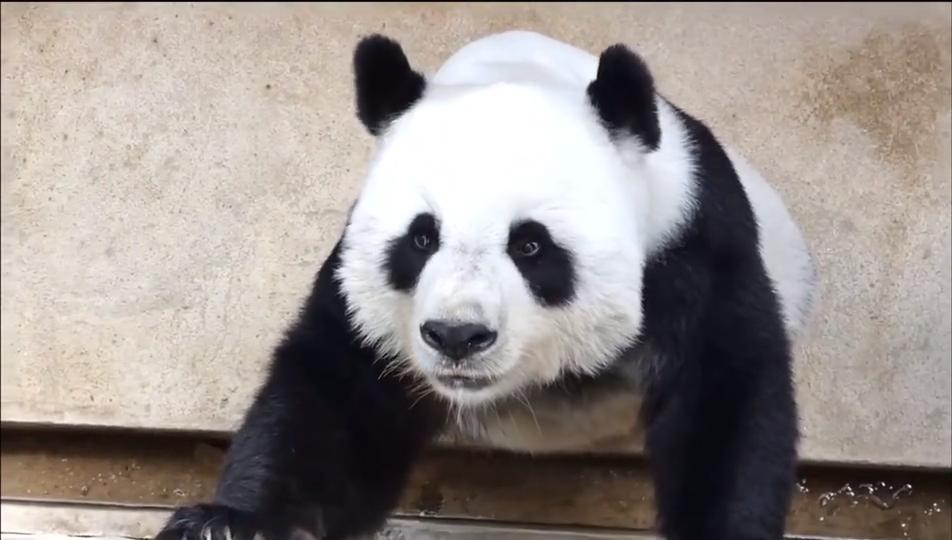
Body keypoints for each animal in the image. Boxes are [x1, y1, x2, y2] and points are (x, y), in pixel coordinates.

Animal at [155, 30, 817, 540]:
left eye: (530, 245)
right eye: (422, 238)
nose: (457, 336)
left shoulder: (690, 243)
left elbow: (725, 398)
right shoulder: (361, 294)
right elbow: (331, 406)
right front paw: (227, 522)